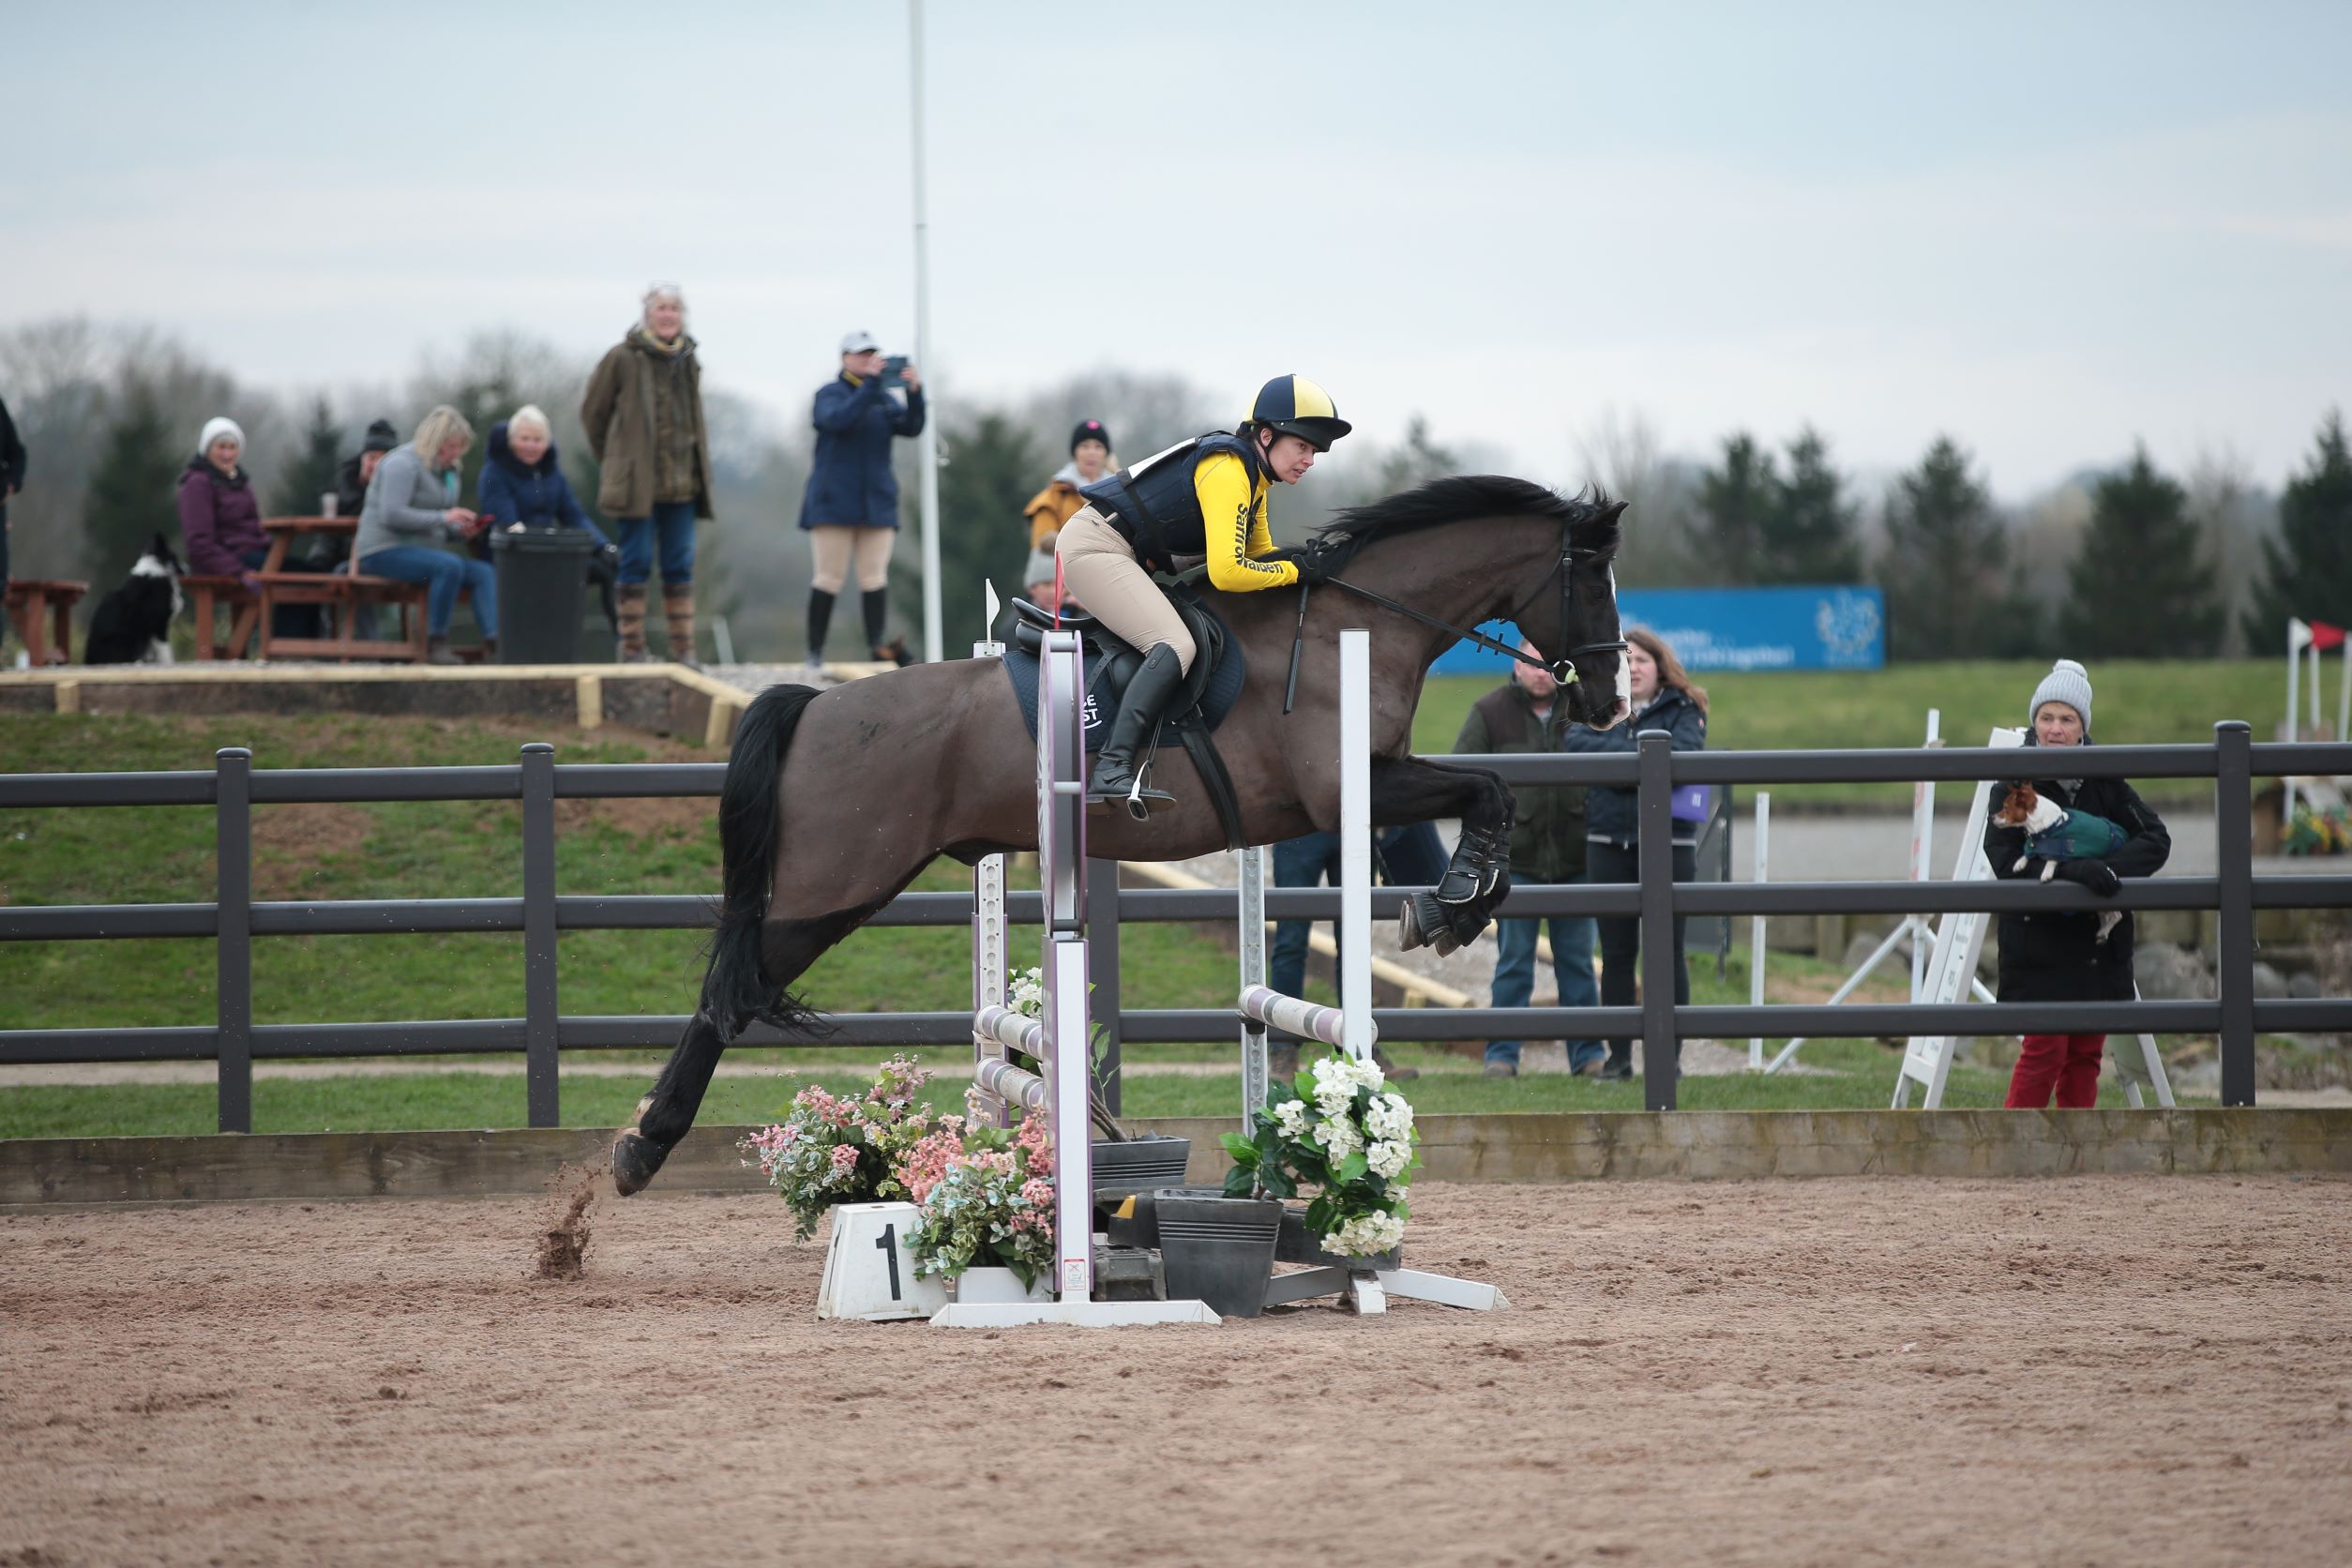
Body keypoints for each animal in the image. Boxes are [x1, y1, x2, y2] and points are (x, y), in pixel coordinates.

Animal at [612, 474, 1628, 1195]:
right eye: (1593, 578)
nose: (1612, 703)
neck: (1358, 620)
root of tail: (816, 708)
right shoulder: (1353, 786)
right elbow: (1490, 788)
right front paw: (1457, 901)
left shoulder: (1370, 786)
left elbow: (1478, 806)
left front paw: (1456, 904)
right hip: (834, 888)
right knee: (729, 996)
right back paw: (641, 1149)